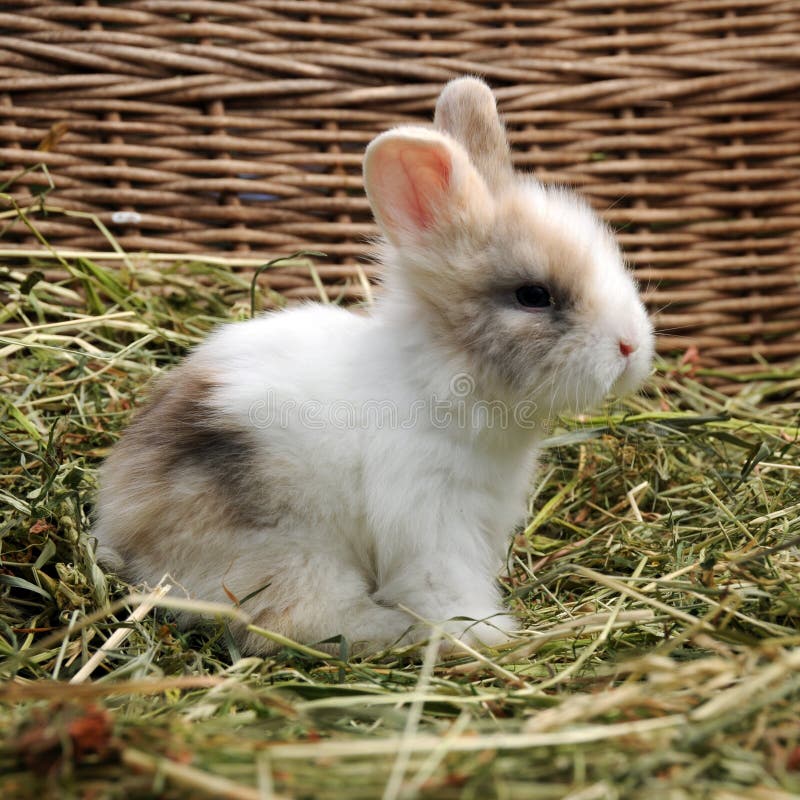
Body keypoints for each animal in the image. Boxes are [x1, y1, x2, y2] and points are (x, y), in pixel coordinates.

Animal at [93, 77, 654, 656]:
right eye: (534, 295)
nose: (632, 346)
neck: (439, 375)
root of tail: (121, 525)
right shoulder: (432, 521)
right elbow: (445, 586)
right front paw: (484, 632)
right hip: (289, 548)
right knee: (296, 618)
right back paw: (394, 631)